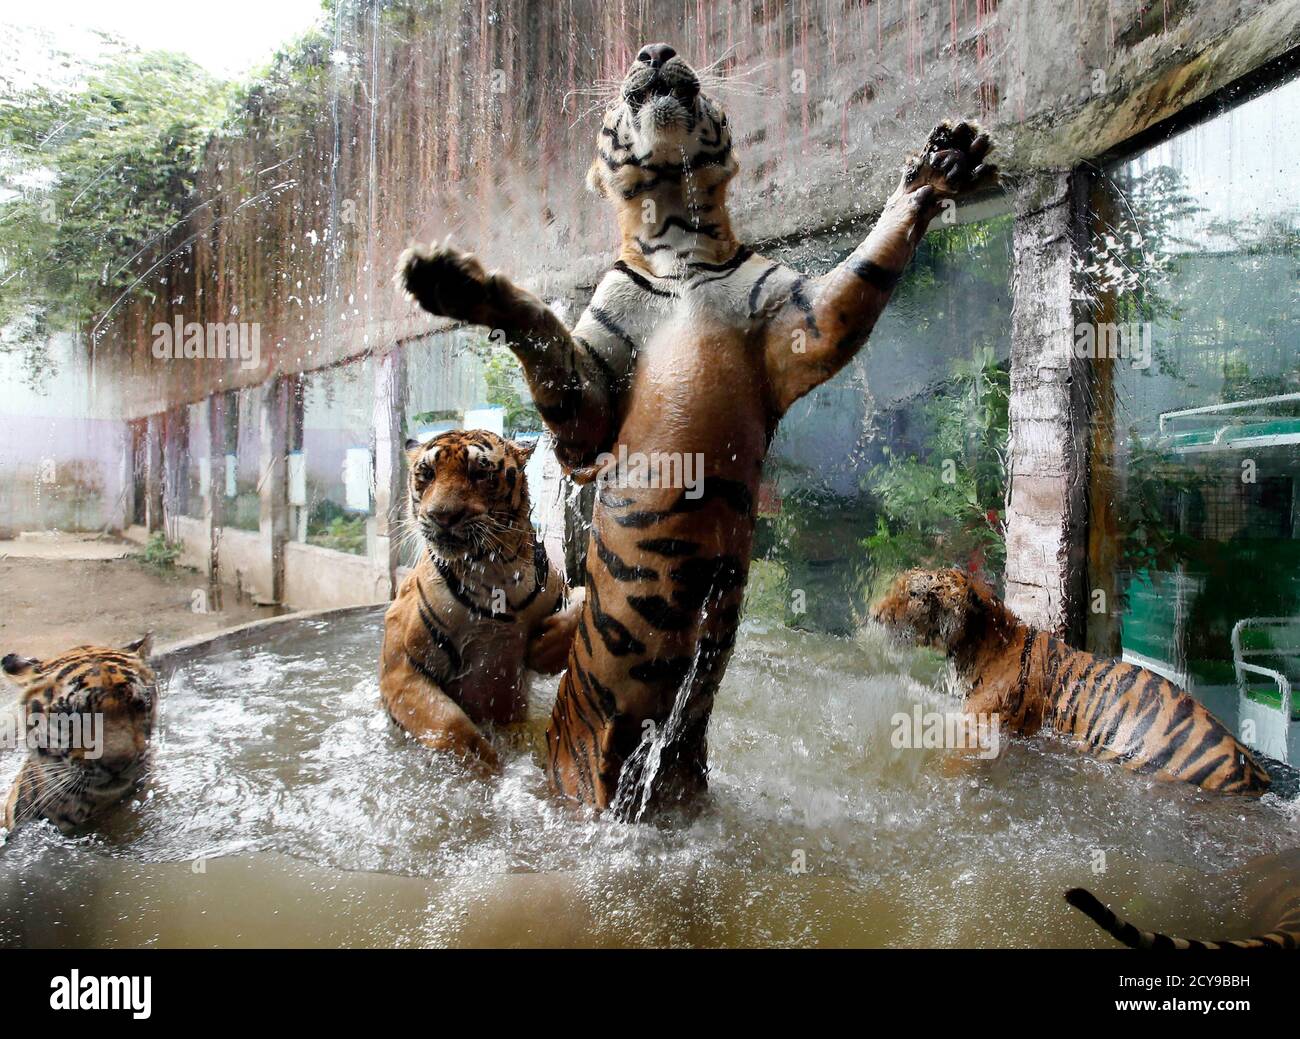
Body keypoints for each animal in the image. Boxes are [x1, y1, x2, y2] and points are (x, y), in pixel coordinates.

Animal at [380, 429, 582, 772]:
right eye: (427, 474)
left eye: (479, 472)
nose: (442, 516)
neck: (495, 570)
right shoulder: (402, 667)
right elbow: (451, 728)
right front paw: (492, 771)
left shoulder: (562, 592)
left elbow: (584, 604)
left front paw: (543, 651)